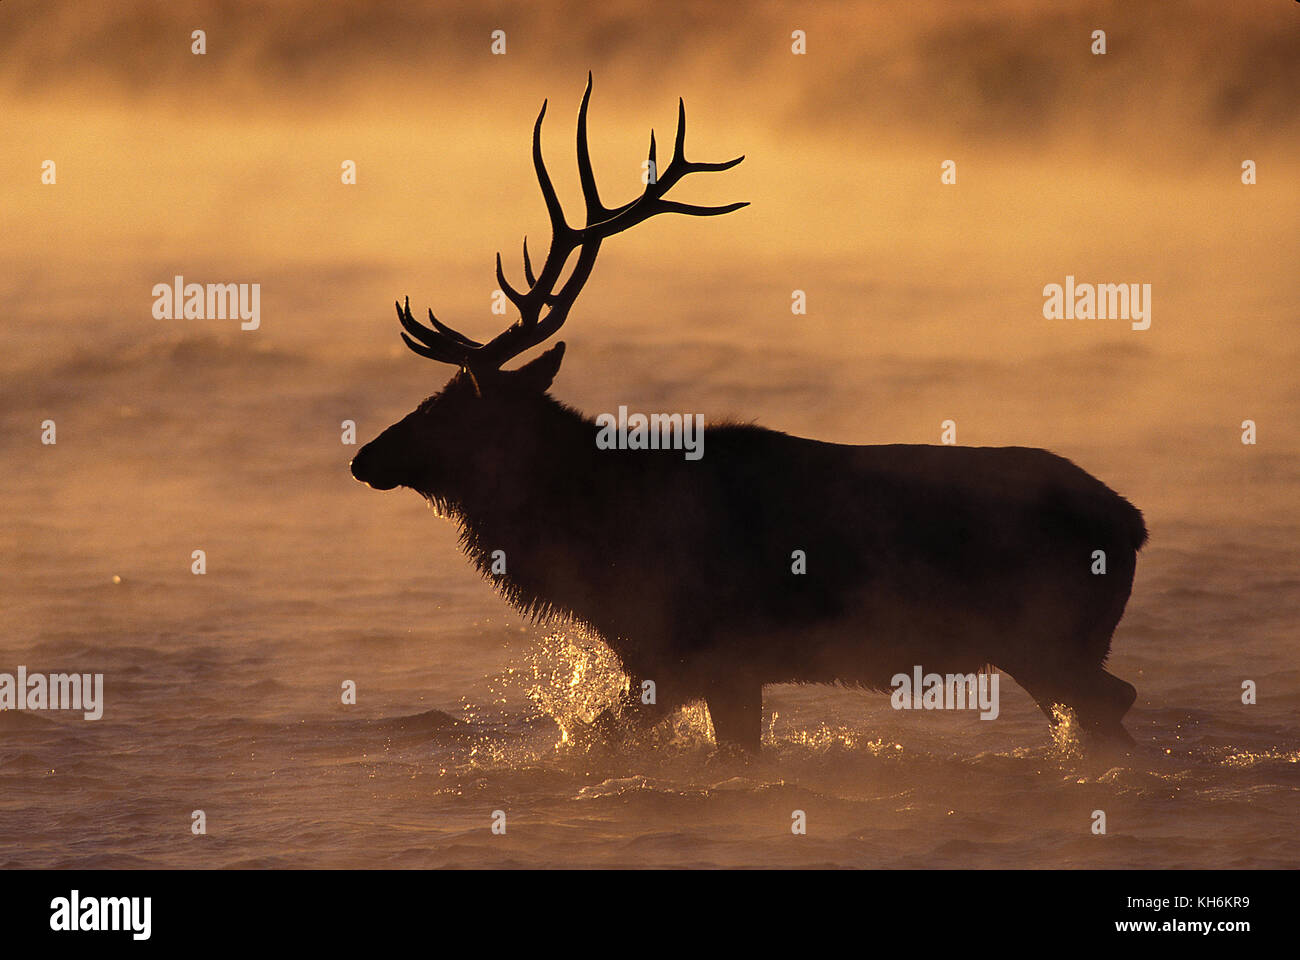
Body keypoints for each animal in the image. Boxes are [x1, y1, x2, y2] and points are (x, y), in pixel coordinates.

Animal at [350, 76, 1148, 753]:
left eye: (453, 409)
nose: (363, 456)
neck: (598, 533)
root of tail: (1132, 523)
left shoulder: (691, 652)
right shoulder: (719, 667)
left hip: (1046, 637)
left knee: (1114, 702)